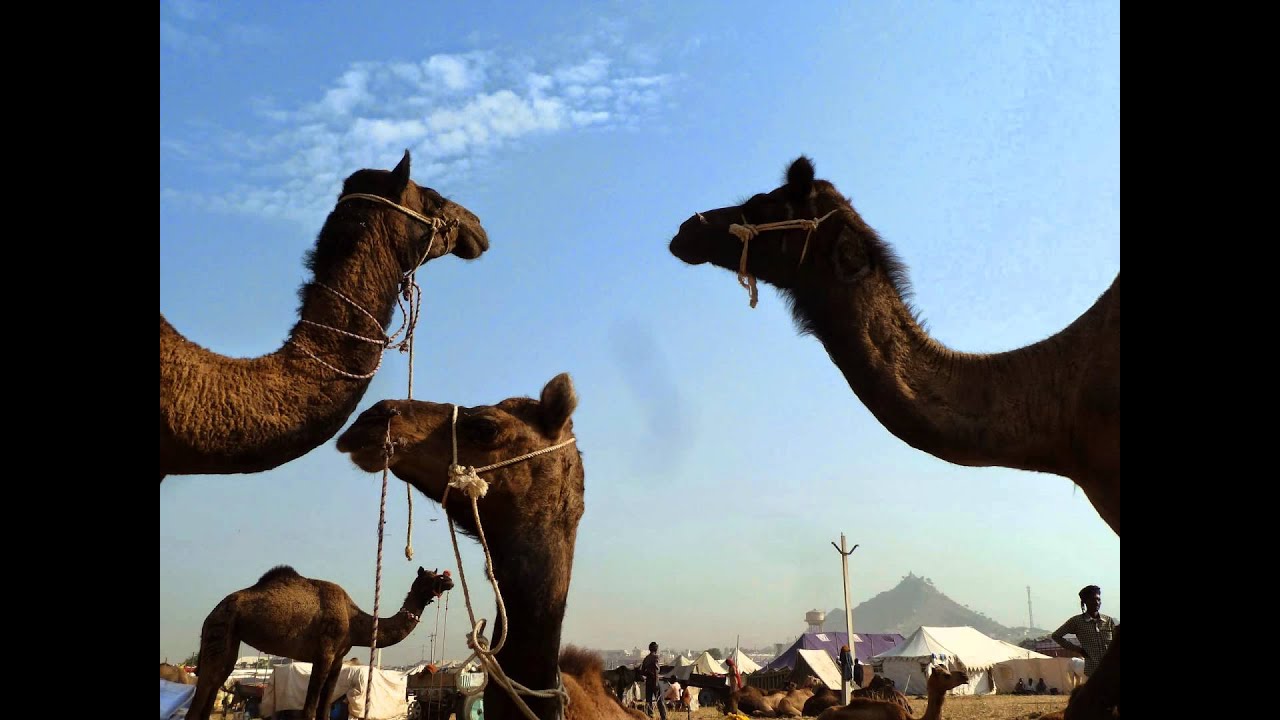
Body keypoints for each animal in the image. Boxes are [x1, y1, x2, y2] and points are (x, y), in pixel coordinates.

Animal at [185, 564, 454, 720]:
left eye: (439, 575)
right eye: (430, 577)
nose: (449, 581)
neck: (354, 621)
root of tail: (213, 612)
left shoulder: (338, 659)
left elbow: (325, 708)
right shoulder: (324, 652)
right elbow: (310, 708)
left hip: (229, 638)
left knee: (216, 682)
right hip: (220, 627)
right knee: (205, 688)